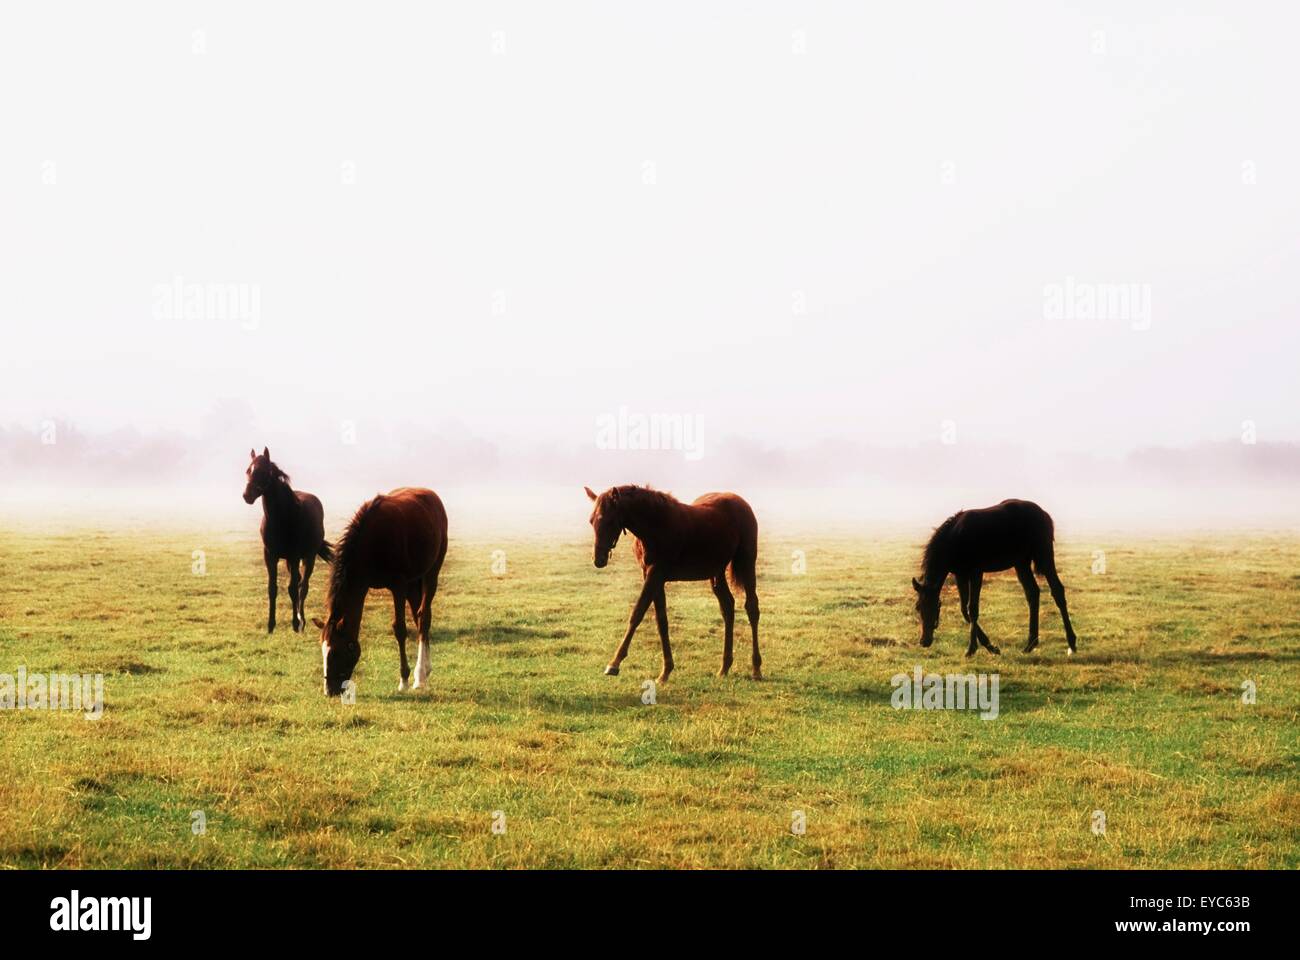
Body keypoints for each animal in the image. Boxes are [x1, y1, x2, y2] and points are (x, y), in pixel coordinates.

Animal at [242, 448, 332, 634]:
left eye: (263, 471)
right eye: (248, 470)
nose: (247, 496)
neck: (283, 518)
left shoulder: (294, 555)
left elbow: (292, 589)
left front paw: (295, 624)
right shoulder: (270, 556)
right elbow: (272, 589)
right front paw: (270, 625)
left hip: (308, 557)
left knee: (303, 587)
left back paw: (302, 620)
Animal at [312, 487, 448, 697]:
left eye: (336, 652)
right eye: (323, 651)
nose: (330, 690)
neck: (372, 543)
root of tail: (431, 495)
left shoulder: (399, 586)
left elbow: (399, 629)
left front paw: (404, 679)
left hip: (431, 572)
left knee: (424, 617)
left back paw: (419, 676)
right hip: (413, 582)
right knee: (420, 618)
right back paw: (425, 669)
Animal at [584, 484, 762, 683]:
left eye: (610, 521)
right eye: (591, 521)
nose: (598, 559)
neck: (656, 525)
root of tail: (741, 502)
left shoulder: (655, 574)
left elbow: (637, 613)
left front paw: (614, 663)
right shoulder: (652, 576)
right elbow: (661, 620)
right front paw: (666, 671)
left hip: (747, 562)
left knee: (752, 608)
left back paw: (756, 669)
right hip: (716, 572)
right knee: (728, 608)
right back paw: (724, 667)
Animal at [912, 498, 1077, 656]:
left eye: (935, 607)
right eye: (918, 607)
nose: (924, 641)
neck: (955, 539)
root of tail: (1044, 514)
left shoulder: (976, 572)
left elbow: (972, 608)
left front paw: (972, 649)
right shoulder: (960, 574)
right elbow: (964, 609)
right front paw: (991, 647)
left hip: (1044, 555)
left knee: (1057, 591)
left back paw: (1071, 643)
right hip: (1021, 563)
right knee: (1033, 593)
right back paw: (1030, 644)